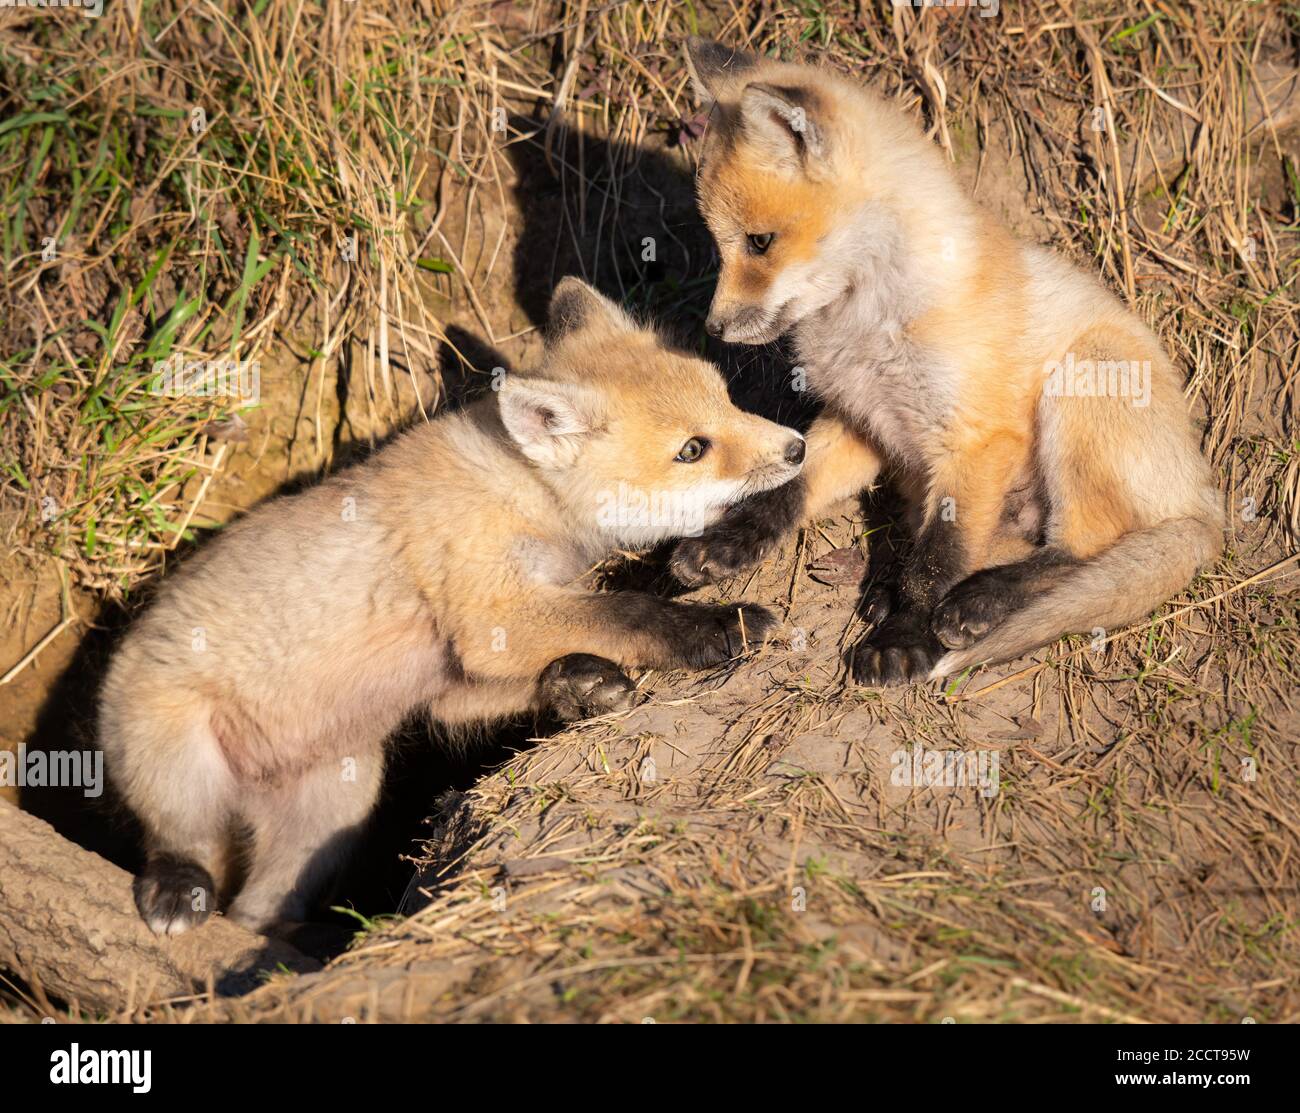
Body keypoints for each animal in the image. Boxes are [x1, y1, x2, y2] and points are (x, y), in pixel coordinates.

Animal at [100, 277, 804, 936]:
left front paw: (579, 684)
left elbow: (525, 677)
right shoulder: (491, 614)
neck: (522, 492)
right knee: (177, 839)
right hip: (179, 767)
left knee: (256, 912)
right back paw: (176, 888)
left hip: (337, 803)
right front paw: (722, 627)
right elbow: (630, 612)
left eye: (726, 398)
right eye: (692, 449)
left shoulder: (455, 672)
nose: (798, 447)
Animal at [672, 37, 1223, 686]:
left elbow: (937, 561)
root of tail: (1205, 504)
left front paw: (904, 638)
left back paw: (978, 602)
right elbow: (791, 488)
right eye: (722, 243)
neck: (869, 325)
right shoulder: (863, 419)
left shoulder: (975, 442)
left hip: (1084, 384)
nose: (713, 329)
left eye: (760, 243)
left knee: (1080, 549)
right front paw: (729, 543)